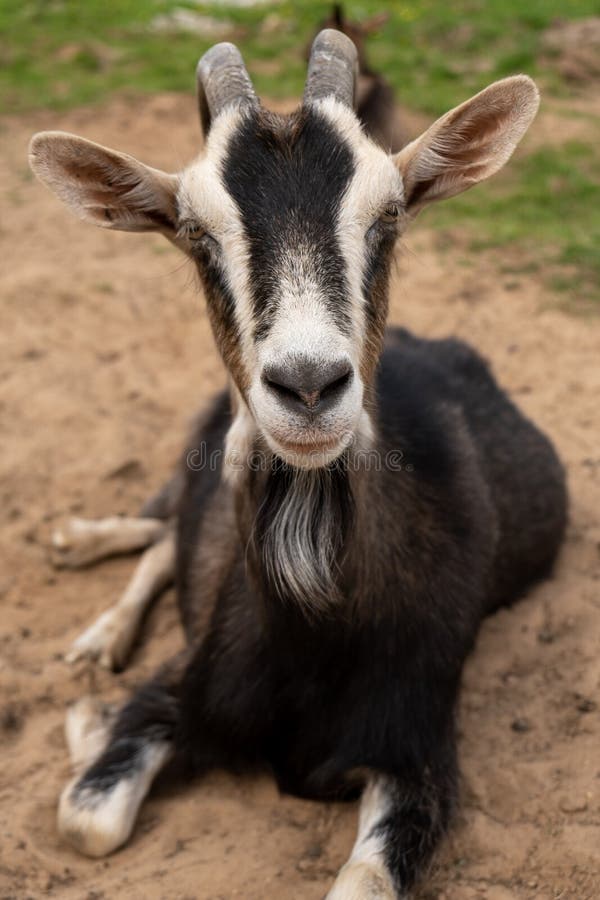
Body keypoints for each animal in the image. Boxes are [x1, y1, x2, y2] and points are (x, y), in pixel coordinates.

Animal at [29, 30, 567, 898]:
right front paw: (87, 716)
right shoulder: (180, 689)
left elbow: (364, 881)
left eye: (390, 215)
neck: (313, 628)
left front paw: (84, 713)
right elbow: (89, 819)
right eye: (193, 232)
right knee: (160, 531)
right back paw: (87, 589)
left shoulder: (417, 749)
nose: (309, 386)